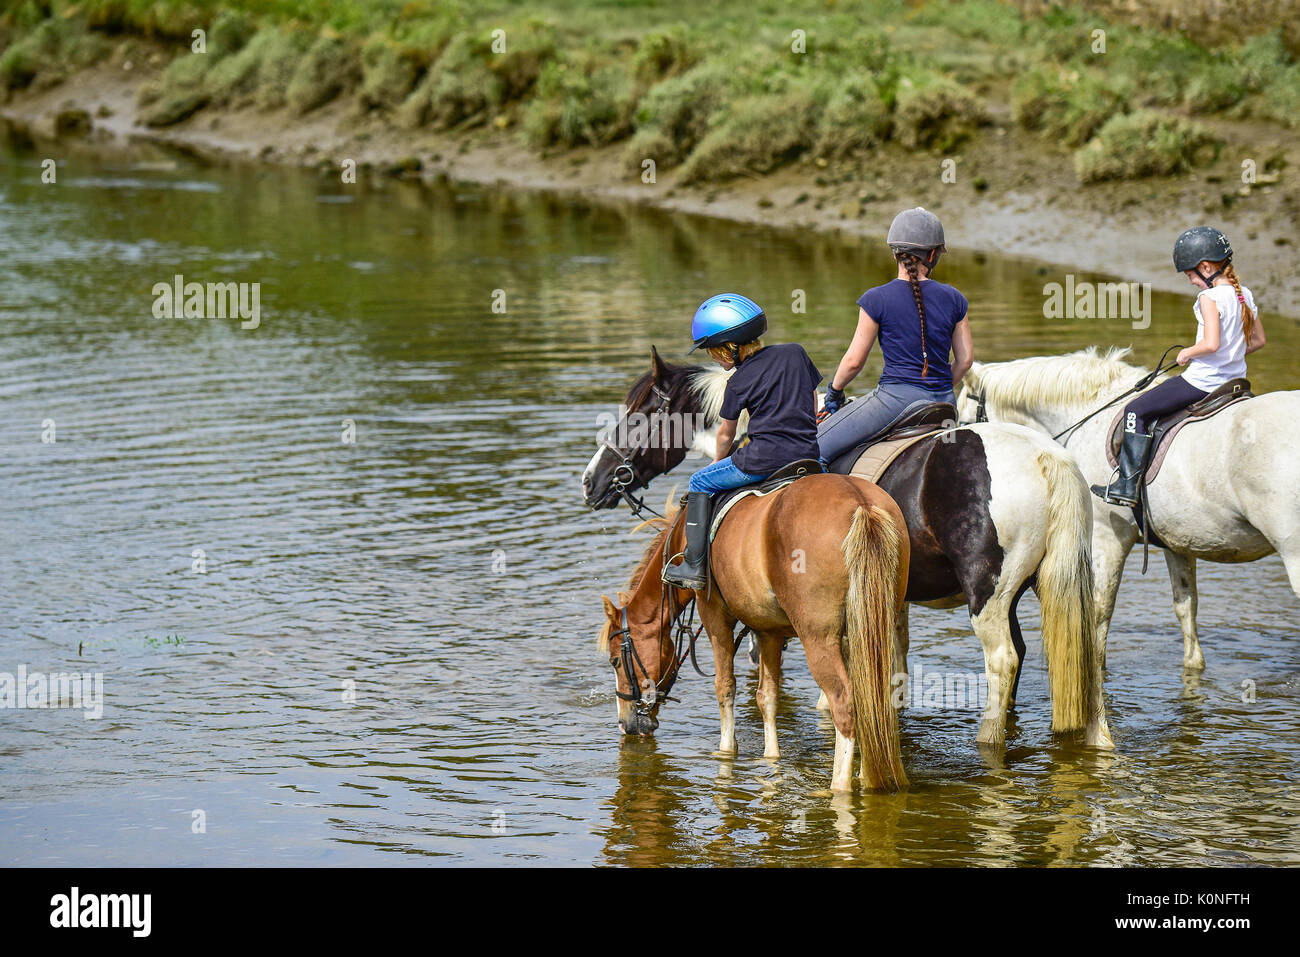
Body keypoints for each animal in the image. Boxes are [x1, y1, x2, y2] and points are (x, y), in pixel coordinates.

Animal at [584, 347, 1112, 751]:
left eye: (639, 416)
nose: (592, 481)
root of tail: (1045, 455)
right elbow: (890, 659)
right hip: (1044, 586)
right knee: (1074, 652)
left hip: (989, 595)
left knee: (1003, 659)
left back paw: (988, 740)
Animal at [597, 476, 910, 791]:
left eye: (614, 661)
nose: (624, 724)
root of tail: (860, 502)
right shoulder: (768, 631)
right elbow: (767, 696)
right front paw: (771, 757)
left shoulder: (714, 616)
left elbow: (724, 687)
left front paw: (726, 751)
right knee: (874, 701)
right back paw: (869, 776)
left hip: (818, 640)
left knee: (844, 707)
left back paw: (840, 787)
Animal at [958, 346, 1300, 670]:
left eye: (963, 423)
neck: (1090, 412)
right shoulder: (1179, 543)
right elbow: (1185, 607)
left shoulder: (1109, 537)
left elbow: (1100, 611)